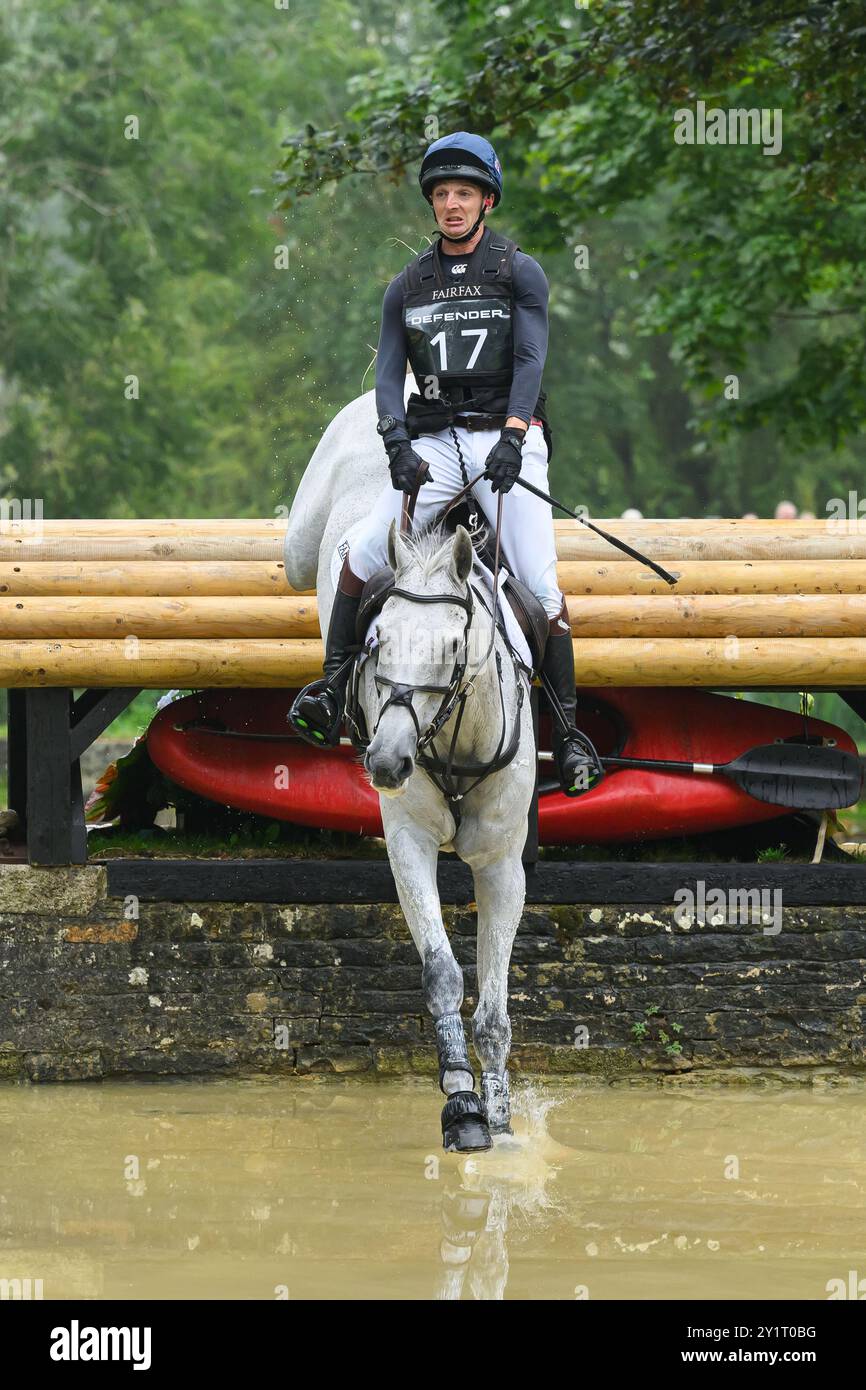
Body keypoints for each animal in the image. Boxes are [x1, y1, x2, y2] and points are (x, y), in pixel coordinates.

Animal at [284, 386, 537, 1152]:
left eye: (454, 646)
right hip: (302, 543)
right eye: (375, 640)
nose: (388, 761)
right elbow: (443, 974)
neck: (452, 741)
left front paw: (502, 1117)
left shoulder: (502, 863)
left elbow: (495, 1005)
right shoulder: (408, 843)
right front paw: (463, 1107)